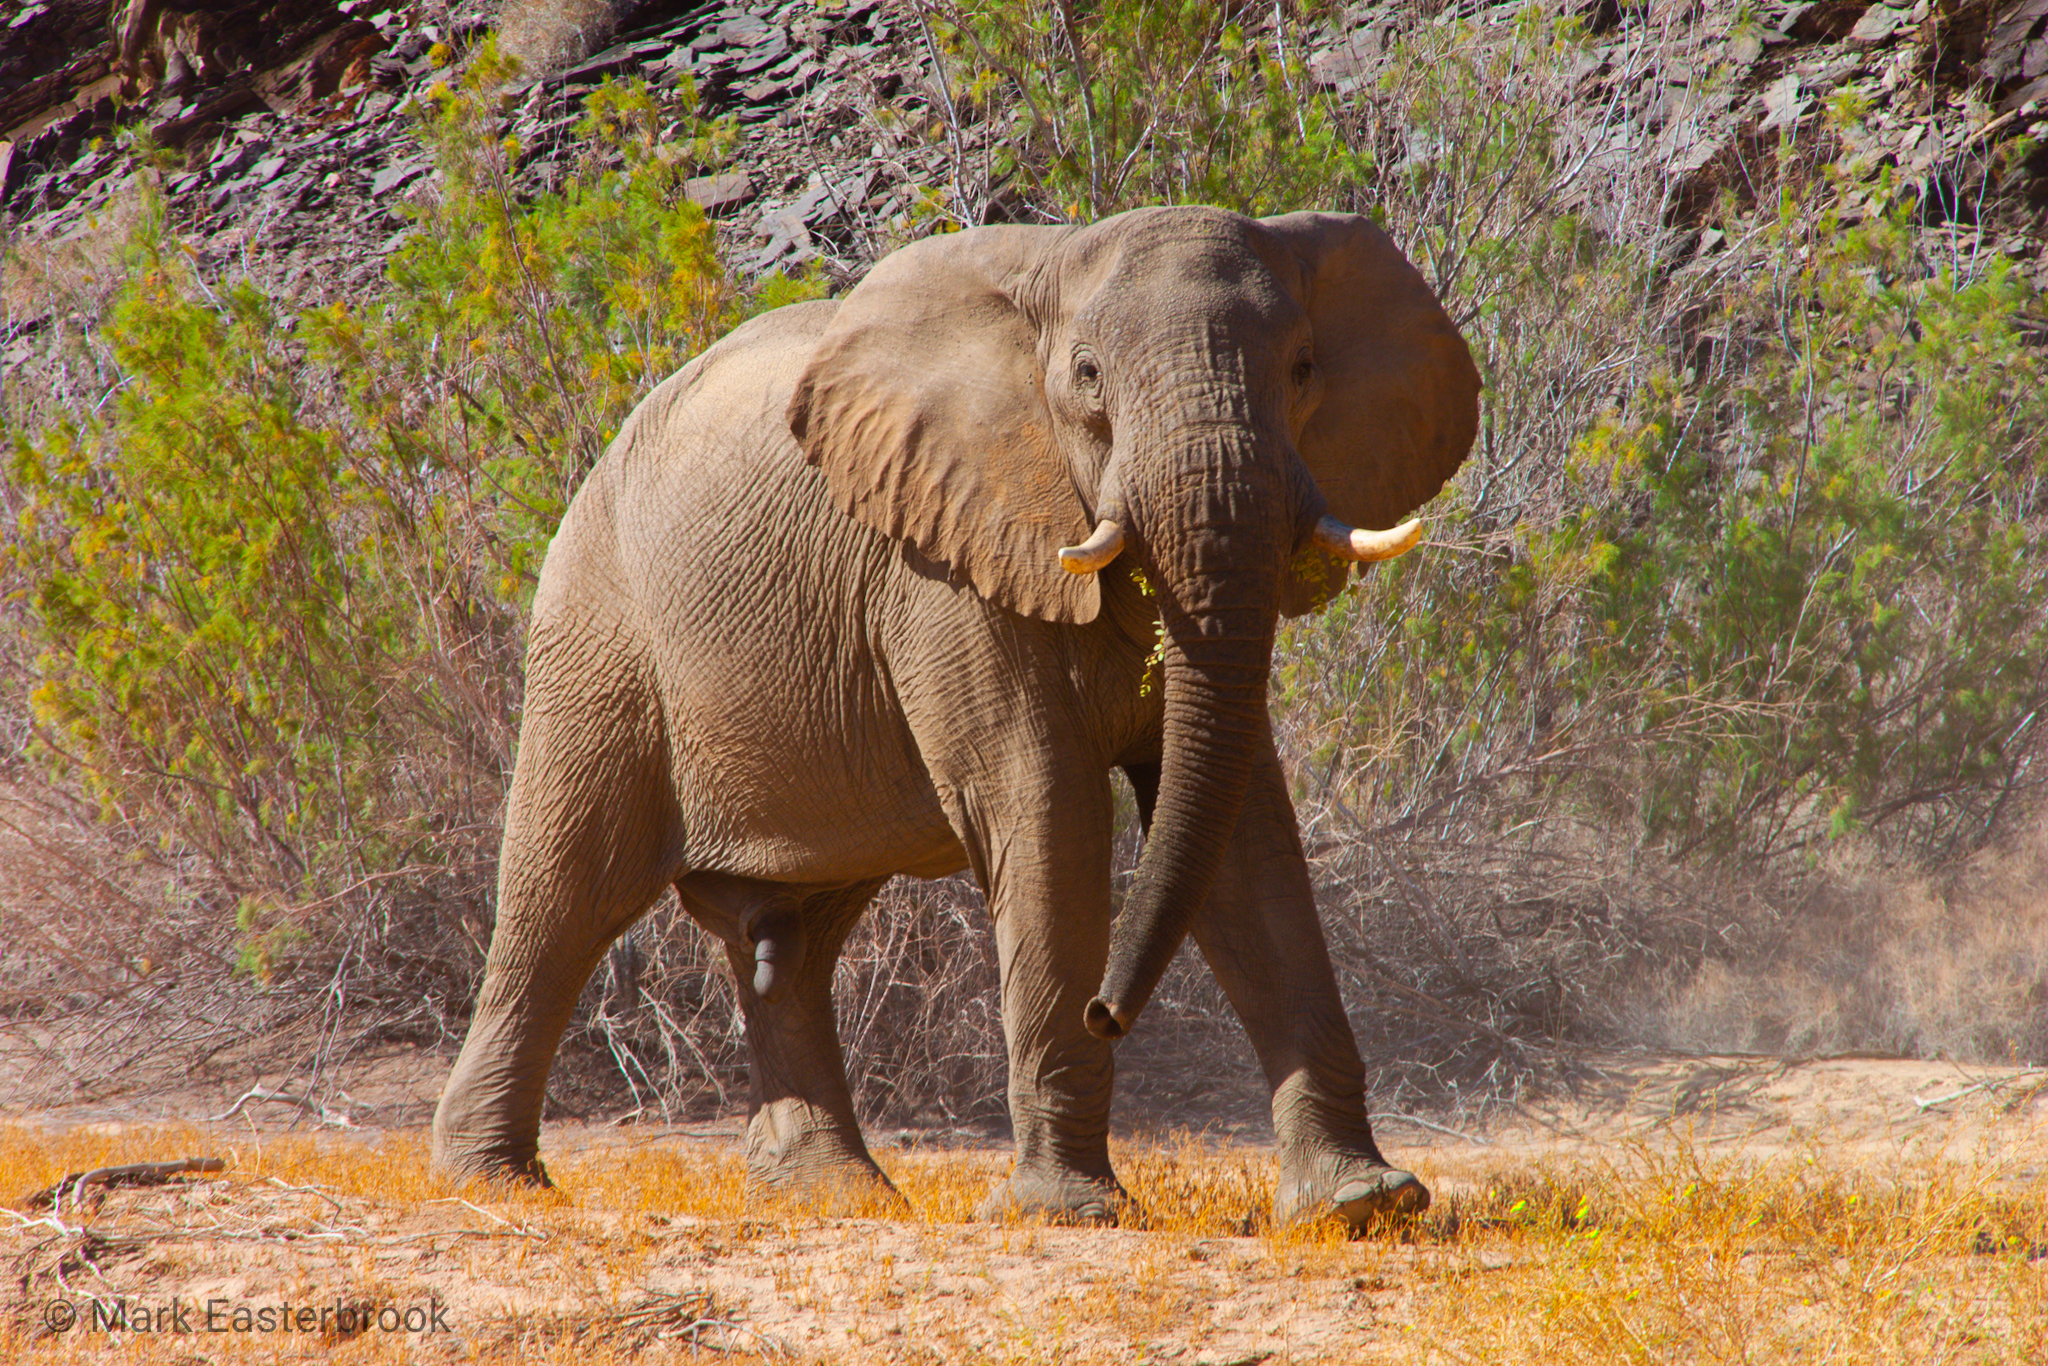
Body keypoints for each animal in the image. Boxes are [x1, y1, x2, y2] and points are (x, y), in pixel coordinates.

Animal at [430, 204, 1480, 1231]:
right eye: (1087, 377)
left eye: (1303, 369)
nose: (1108, 1012)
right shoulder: (941, 565)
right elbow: (1046, 805)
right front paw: (1070, 1215)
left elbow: (1246, 835)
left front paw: (1363, 1205)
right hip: (598, 632)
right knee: (565, 896)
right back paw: (495, 1183)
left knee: (793, 940)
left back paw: (836, 1197)